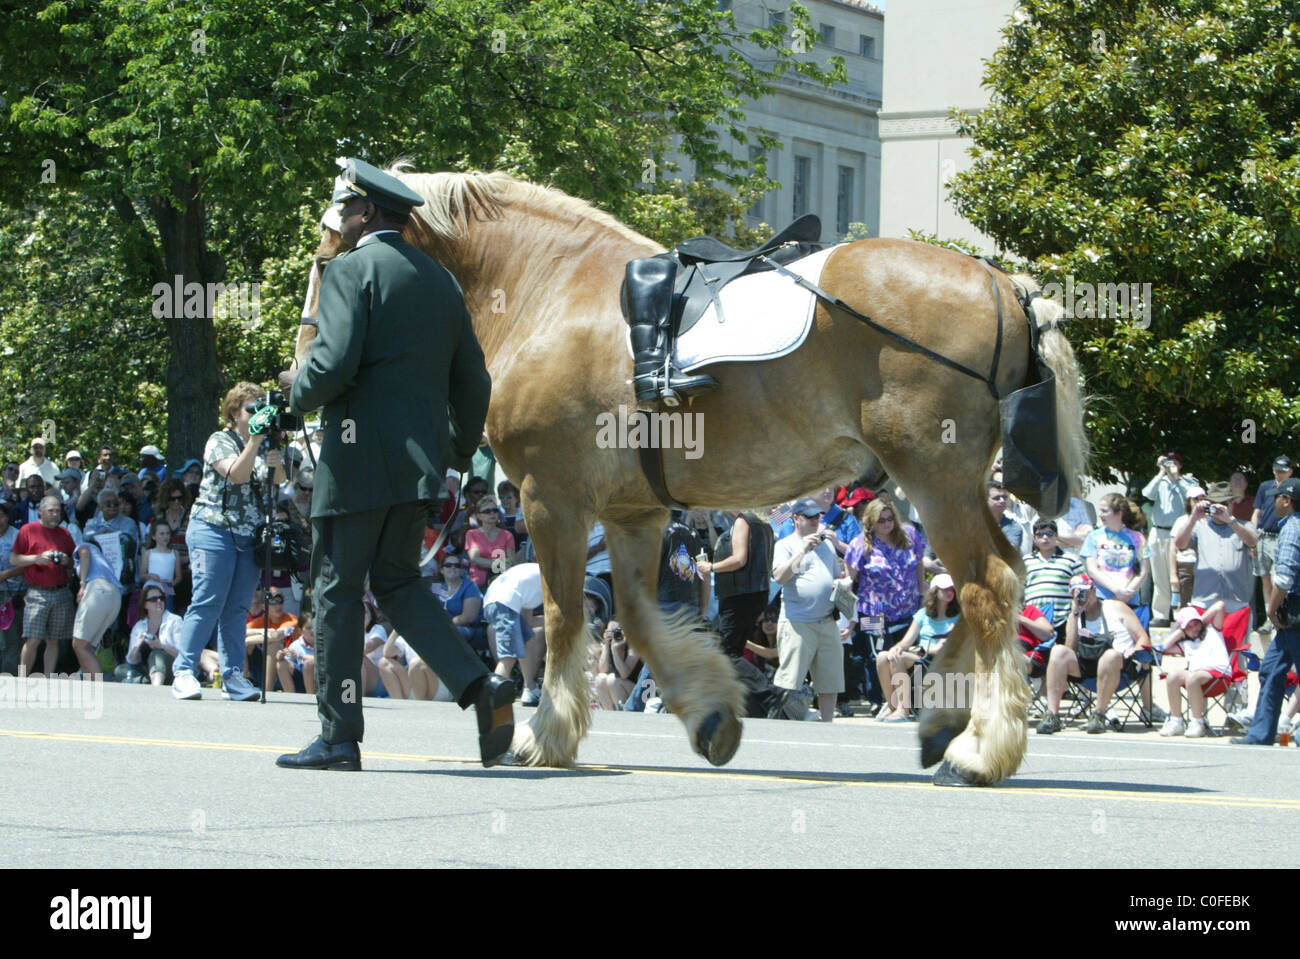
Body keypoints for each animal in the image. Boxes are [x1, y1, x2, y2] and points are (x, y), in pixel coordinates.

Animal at [293, 168, 1088, 786]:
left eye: (327, 257)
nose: (300, 371)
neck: (549, 289)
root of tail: (1003, 285)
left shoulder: (552, 501)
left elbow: (564, 617)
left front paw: (544, 734)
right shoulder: (633, 513)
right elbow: (641, 619)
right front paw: (709, 712)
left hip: (932, 475)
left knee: (989, 585)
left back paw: (982, 748)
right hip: (941, 482)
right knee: (1002, 578)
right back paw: (943, 722)